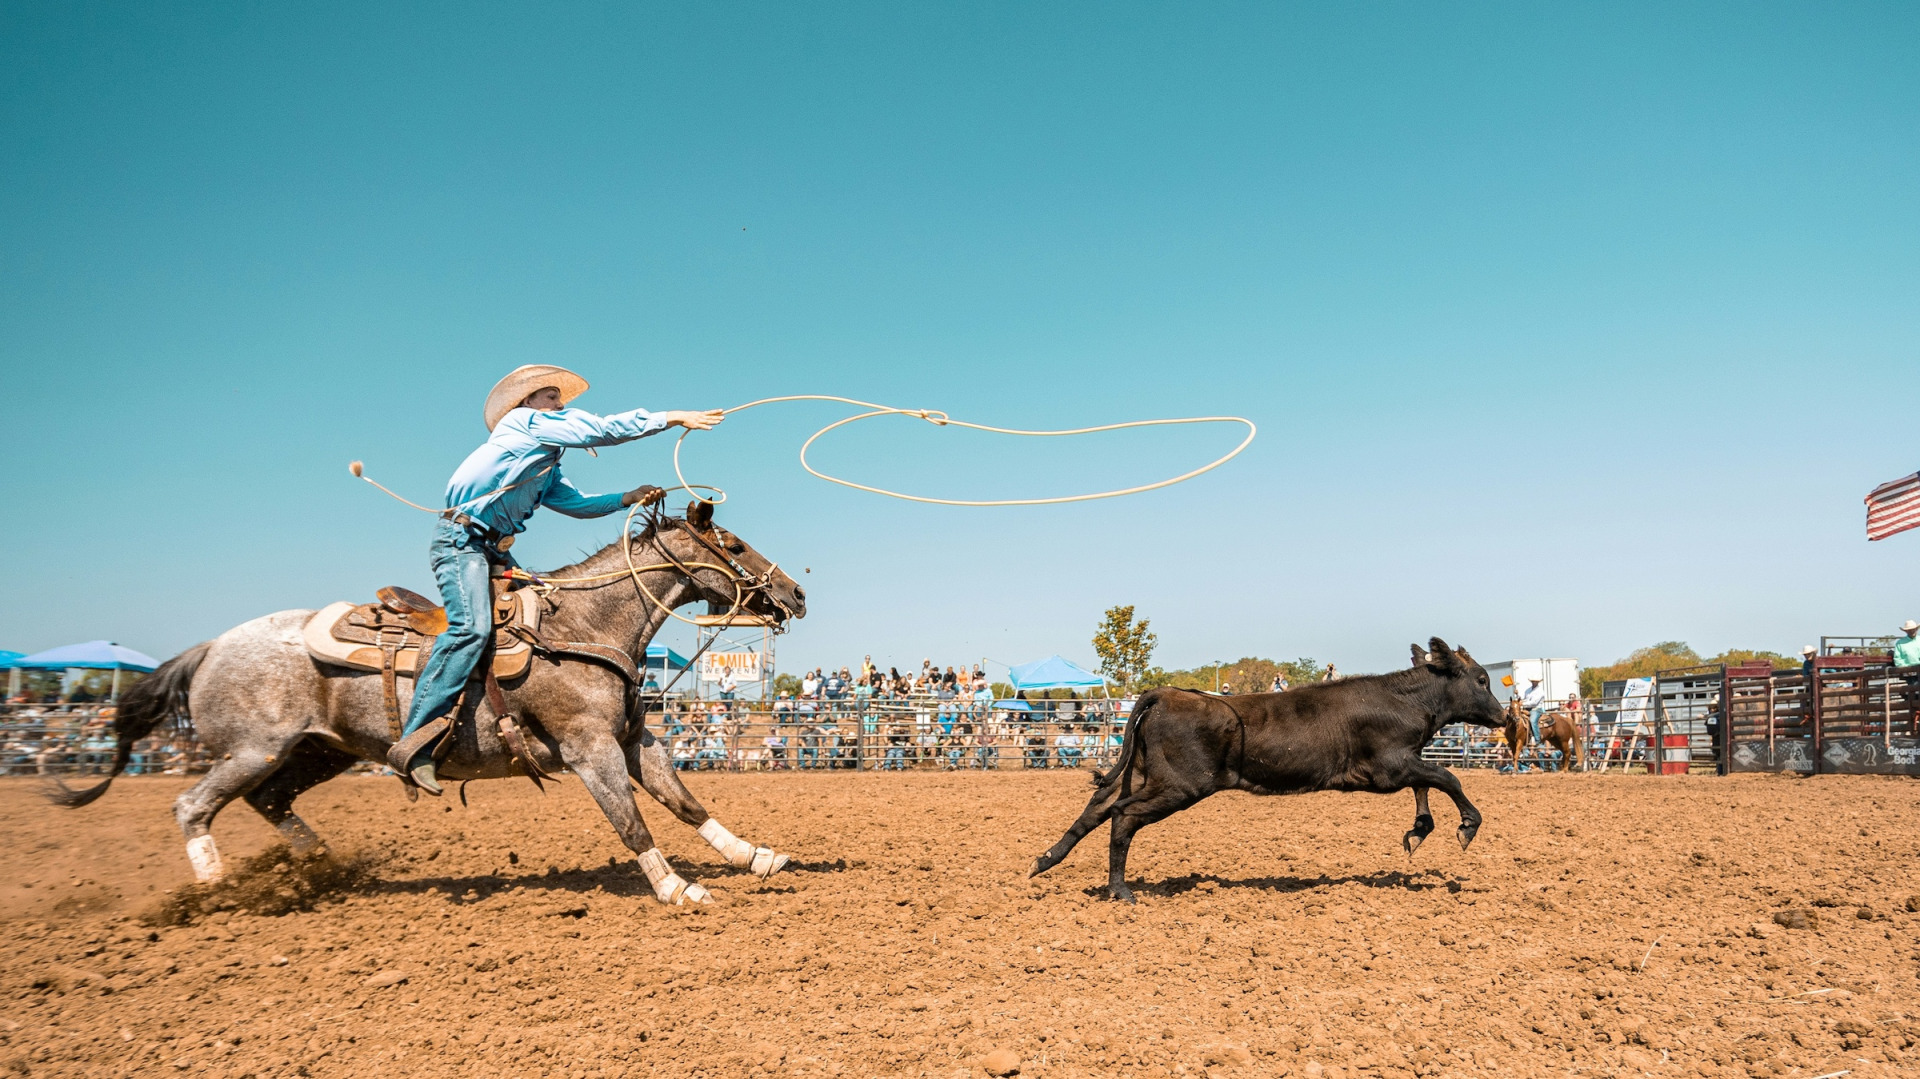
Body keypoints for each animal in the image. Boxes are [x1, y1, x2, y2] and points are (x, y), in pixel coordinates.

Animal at [49, 500, 805, 906]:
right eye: (733, 543)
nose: (795, 592)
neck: (582, 627)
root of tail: (207, 647)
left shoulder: (630, 739)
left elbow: (685, 802)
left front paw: (756, 856)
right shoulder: (588, 748)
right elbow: (631, 820)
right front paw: (680, 888)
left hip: (319, 751)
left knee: (270, 802)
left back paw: (326, 870)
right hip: (254, 748)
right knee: (193, 806)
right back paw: (220, 891)